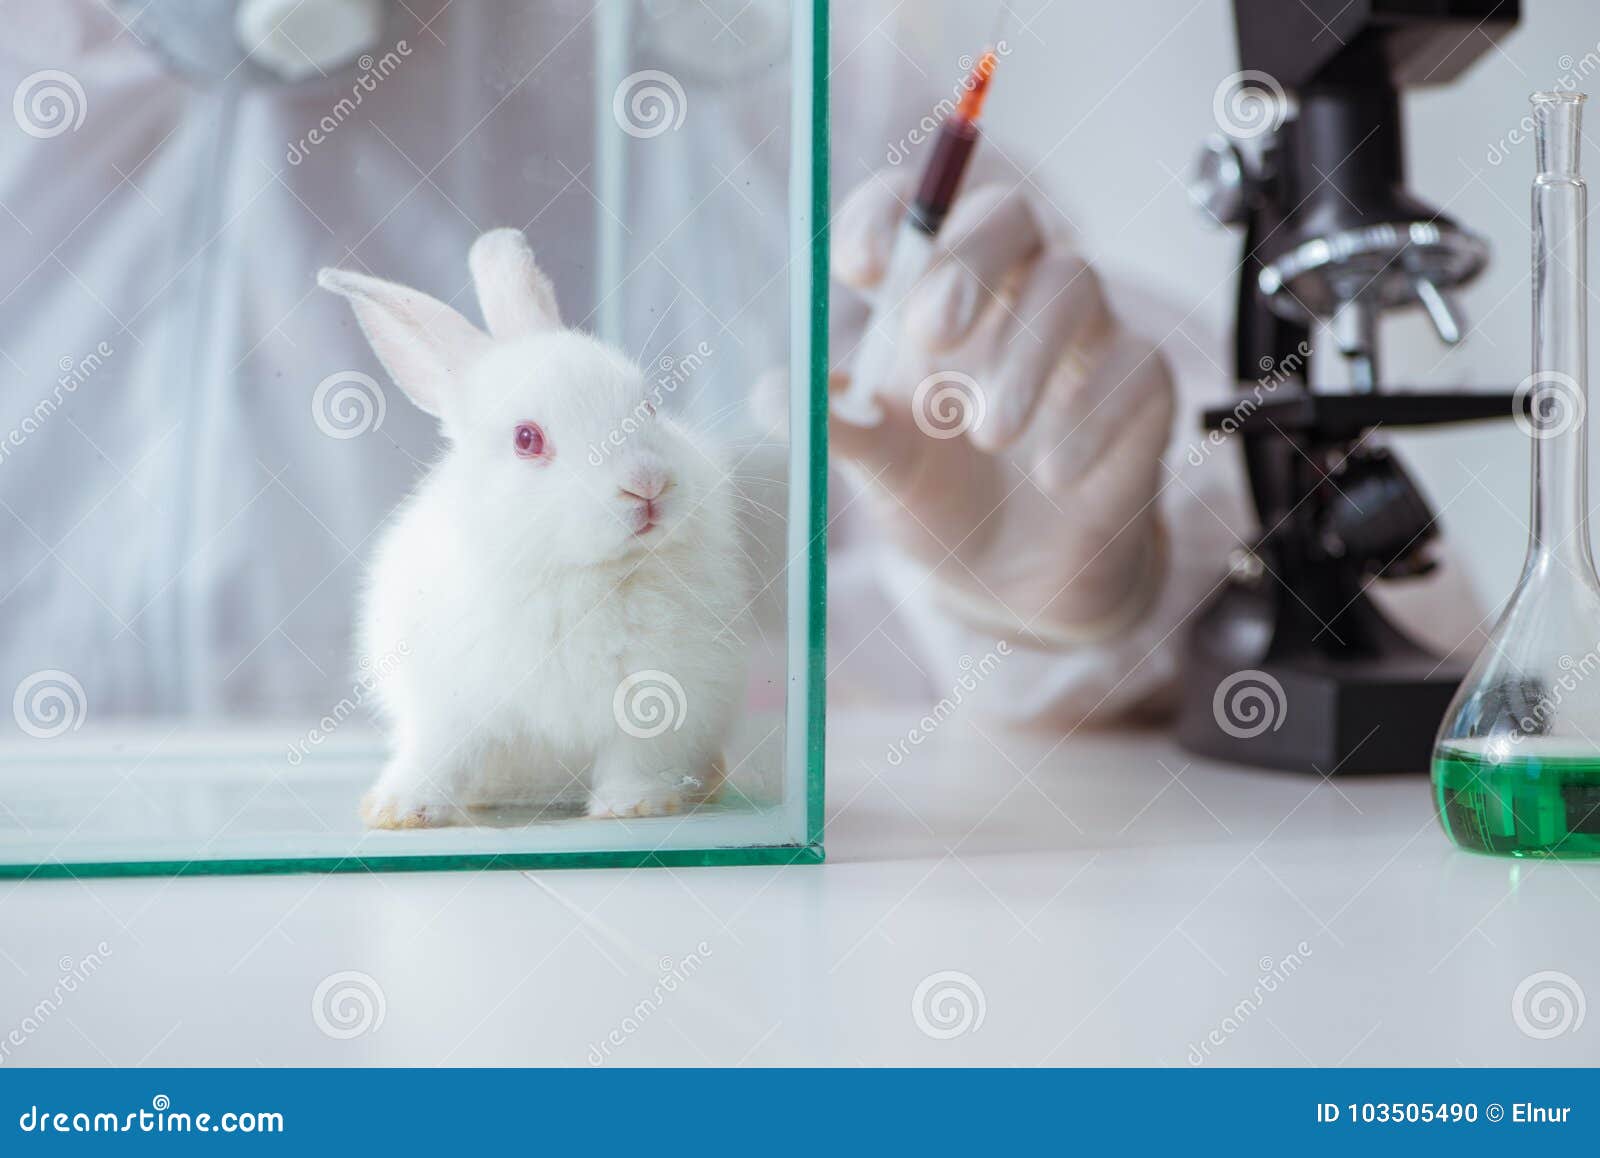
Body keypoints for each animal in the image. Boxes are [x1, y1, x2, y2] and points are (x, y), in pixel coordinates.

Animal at [318, 228, 748, 828]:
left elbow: (634, 755)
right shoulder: (444, 701)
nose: (647, 484)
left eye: (649, 407)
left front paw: (632, 806)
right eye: (527, 439)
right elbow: (435, 752)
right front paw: (399, 811)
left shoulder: (660, 690)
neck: (578, 572)